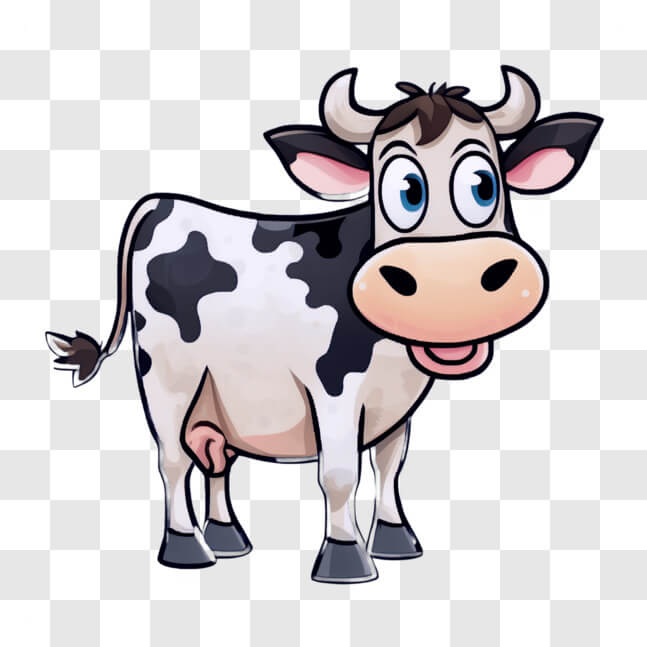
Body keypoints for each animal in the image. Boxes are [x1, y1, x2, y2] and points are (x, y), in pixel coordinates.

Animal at [46, 66, 601, 583]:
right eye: (406, 191)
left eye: (484, 186)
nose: (450, 281)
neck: (397, 358)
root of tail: (164, 202)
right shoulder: (334, 388)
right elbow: (340, 473)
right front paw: (344, 557)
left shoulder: (394, 403)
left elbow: (389, 465)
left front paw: (396, 540)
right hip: (167, 379)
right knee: (173, 459)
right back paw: (188, 549)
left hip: (215, 395)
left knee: (215, 457)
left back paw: (228, 539)